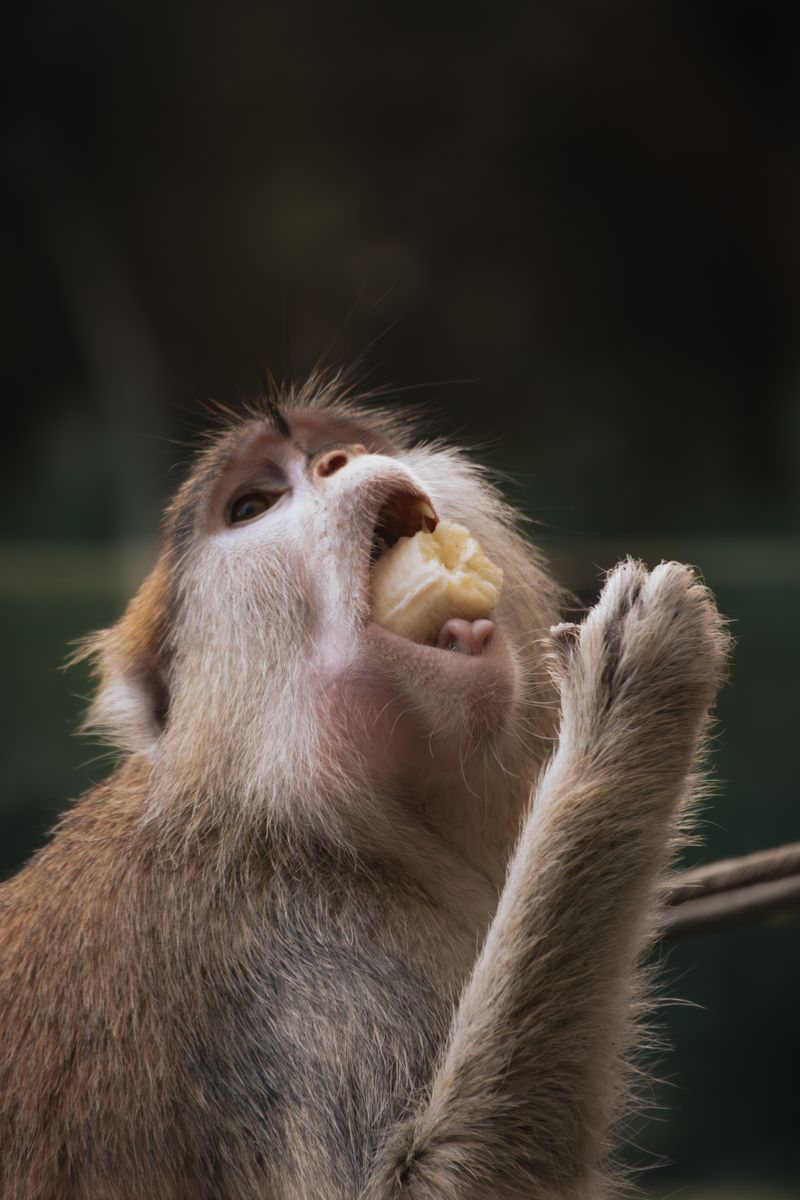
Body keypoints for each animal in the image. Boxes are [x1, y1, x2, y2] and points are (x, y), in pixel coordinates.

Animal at [0, 375, 729, 1200]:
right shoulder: (294, 957)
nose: (338, 461)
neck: (281, 807)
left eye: (334, 446)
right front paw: (625, 714)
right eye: (251, 505)